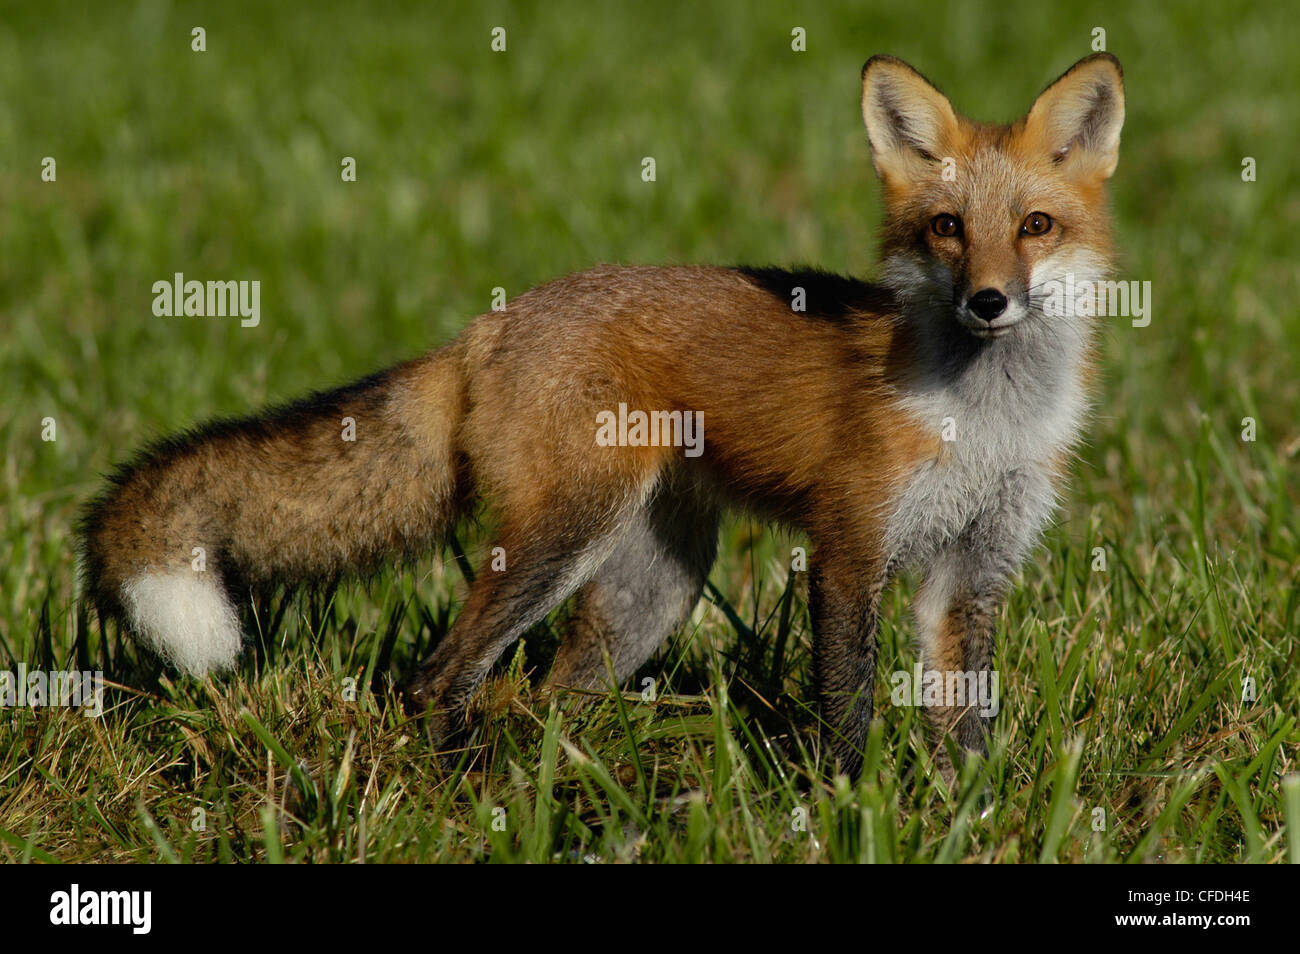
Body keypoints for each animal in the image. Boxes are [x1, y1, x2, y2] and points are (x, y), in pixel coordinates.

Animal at [79, 53, 1124, 782]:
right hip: (566, 536)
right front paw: (845, 801)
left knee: (550, 697)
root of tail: (489, 324)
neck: (983, 419)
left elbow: (964, 727)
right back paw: (463, 786)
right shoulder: (851, 545)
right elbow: (847, 704)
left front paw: (962, 811)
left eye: (1034, 227)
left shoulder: (972, 571)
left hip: (653, 590)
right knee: (436, 678)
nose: (988, 301)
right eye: (947, 228)